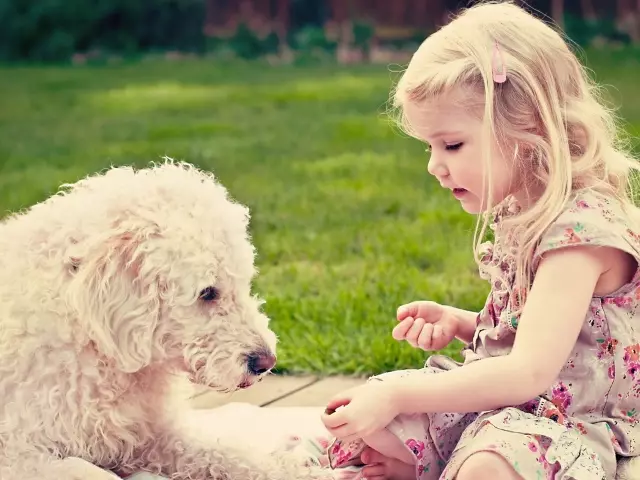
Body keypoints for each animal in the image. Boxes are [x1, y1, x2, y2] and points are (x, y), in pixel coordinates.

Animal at [0, 160, 332, 480]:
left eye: (244, 283)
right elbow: (90, 473)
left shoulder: (155, 435)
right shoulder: (17, 455)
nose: (266, 362)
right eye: (207, 293)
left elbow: (231, 453)